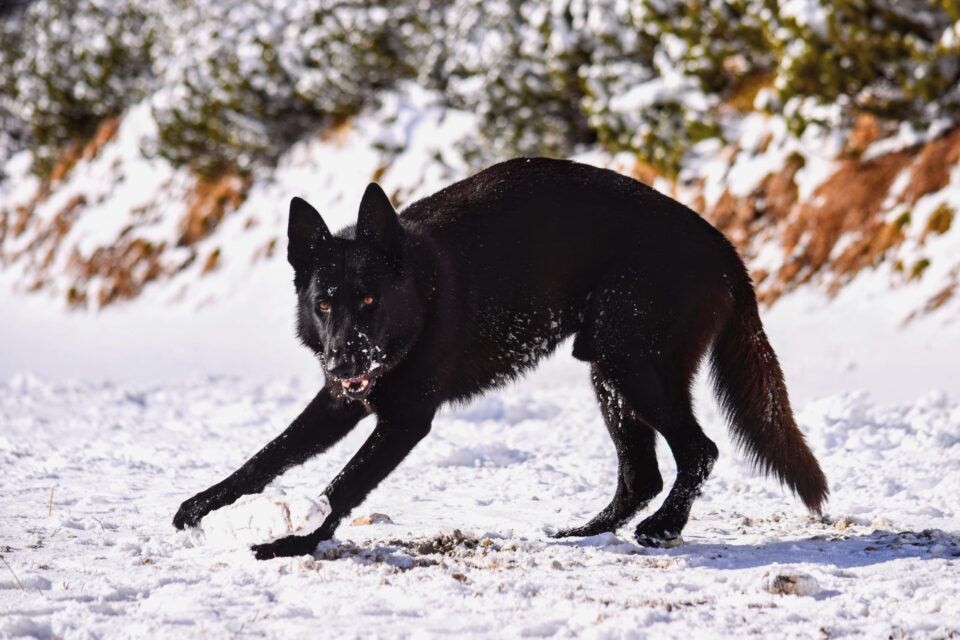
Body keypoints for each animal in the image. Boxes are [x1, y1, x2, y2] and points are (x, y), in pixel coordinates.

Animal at [173, 157, 828, 559]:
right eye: (324, 303)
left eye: (369, 300)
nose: (344, 361)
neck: (420, 292)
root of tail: (719, 243)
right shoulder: (340, 403)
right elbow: (266, 456)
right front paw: (202, 505)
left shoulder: (404, 420)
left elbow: (343, 485)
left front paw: (295, 544)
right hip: (611, 377)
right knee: (642, 473)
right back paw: (583, 532)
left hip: (636, 369)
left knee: (700, 450)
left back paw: (663, 529)